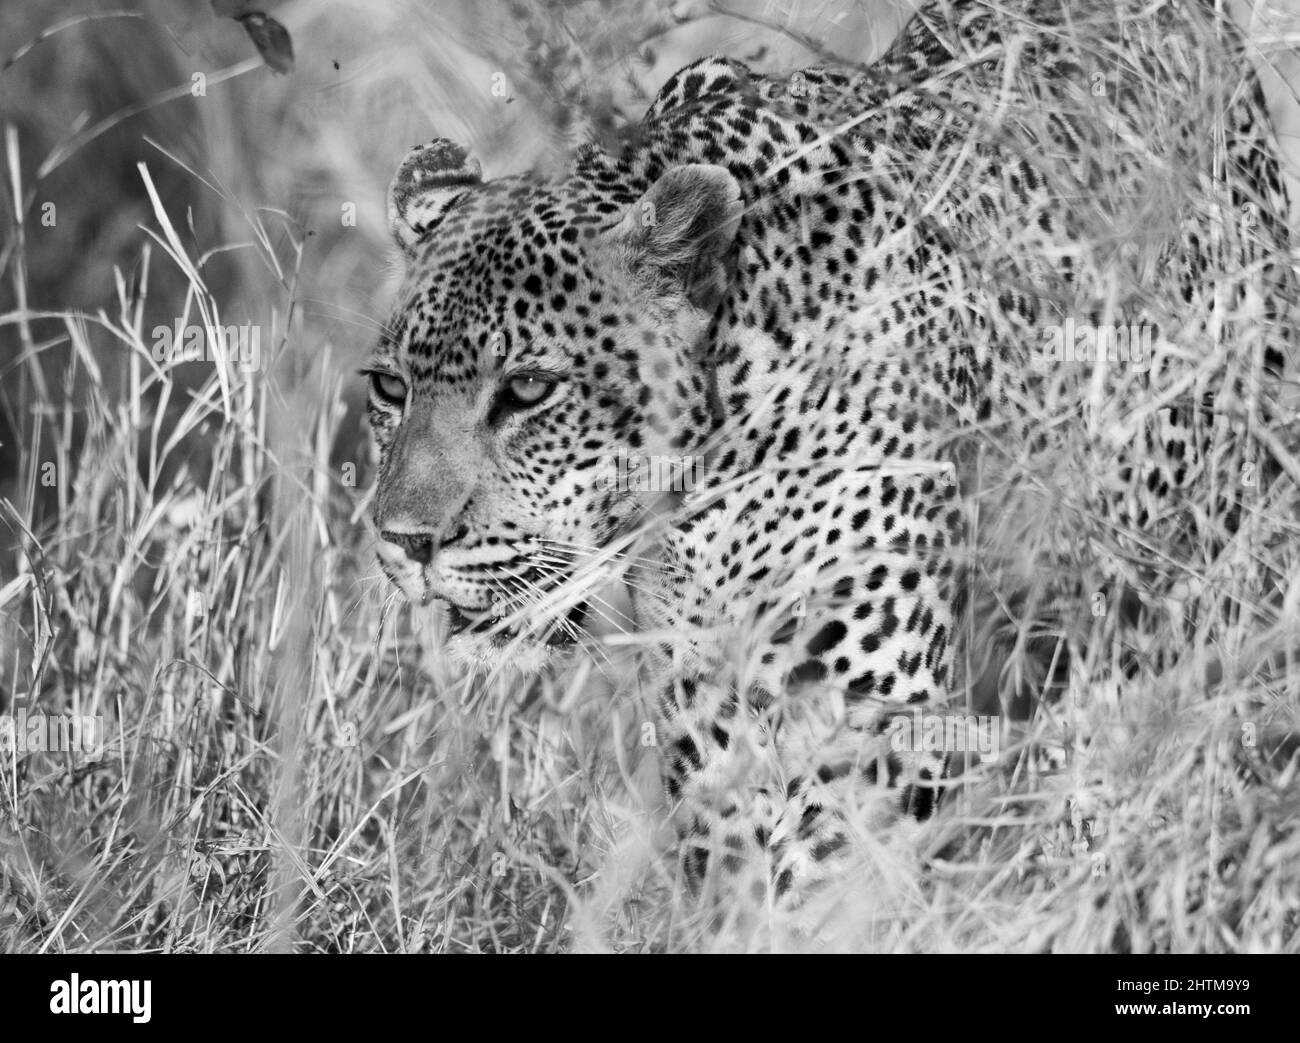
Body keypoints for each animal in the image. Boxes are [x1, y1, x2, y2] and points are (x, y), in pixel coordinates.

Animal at [364, 0, 1297, 925]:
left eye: (528, 388)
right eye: (388, 387)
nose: (404, 542)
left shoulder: (865, 707)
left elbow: (827, 881)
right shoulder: (703, 703)